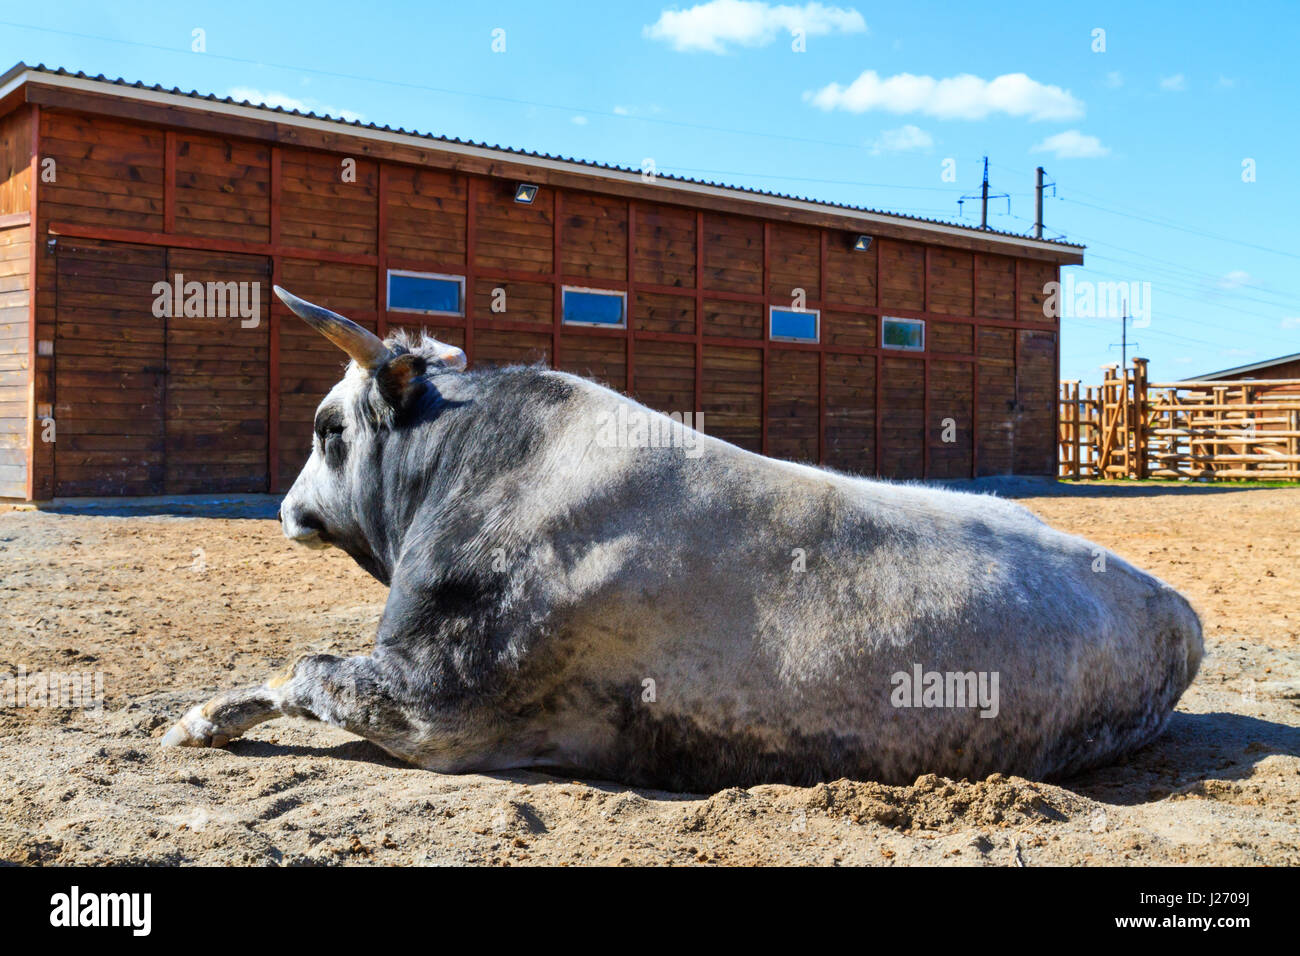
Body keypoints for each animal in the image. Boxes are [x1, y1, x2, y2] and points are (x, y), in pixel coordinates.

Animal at [161, 286, 1204, 791]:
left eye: (327, 429)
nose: (285, 507)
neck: (474, 466)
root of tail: (1180, 610)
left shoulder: (434, 704)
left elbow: (303, 670)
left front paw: (200, 719)